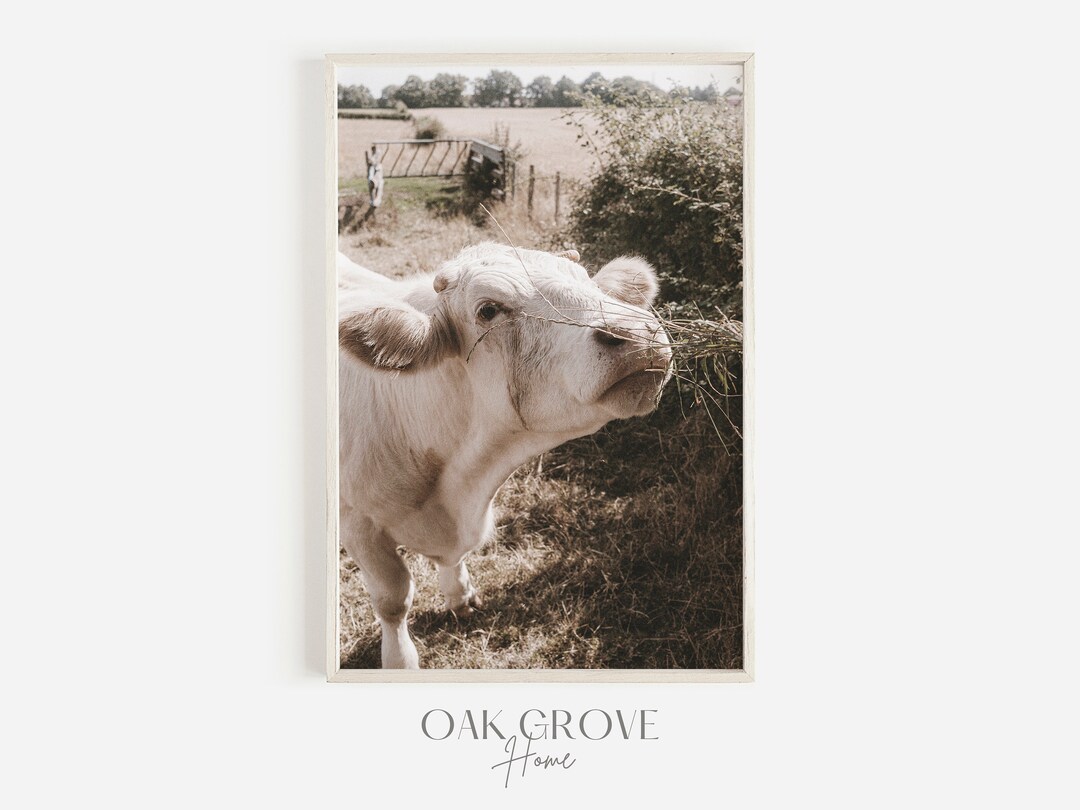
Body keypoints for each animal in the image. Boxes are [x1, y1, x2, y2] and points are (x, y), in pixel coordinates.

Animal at [337, 243, 672, 668]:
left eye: (588, 282)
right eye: (488, 310)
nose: (635, 330)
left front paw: (460, 595)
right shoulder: (358, 526)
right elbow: (392, 600)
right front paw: (400, 661)